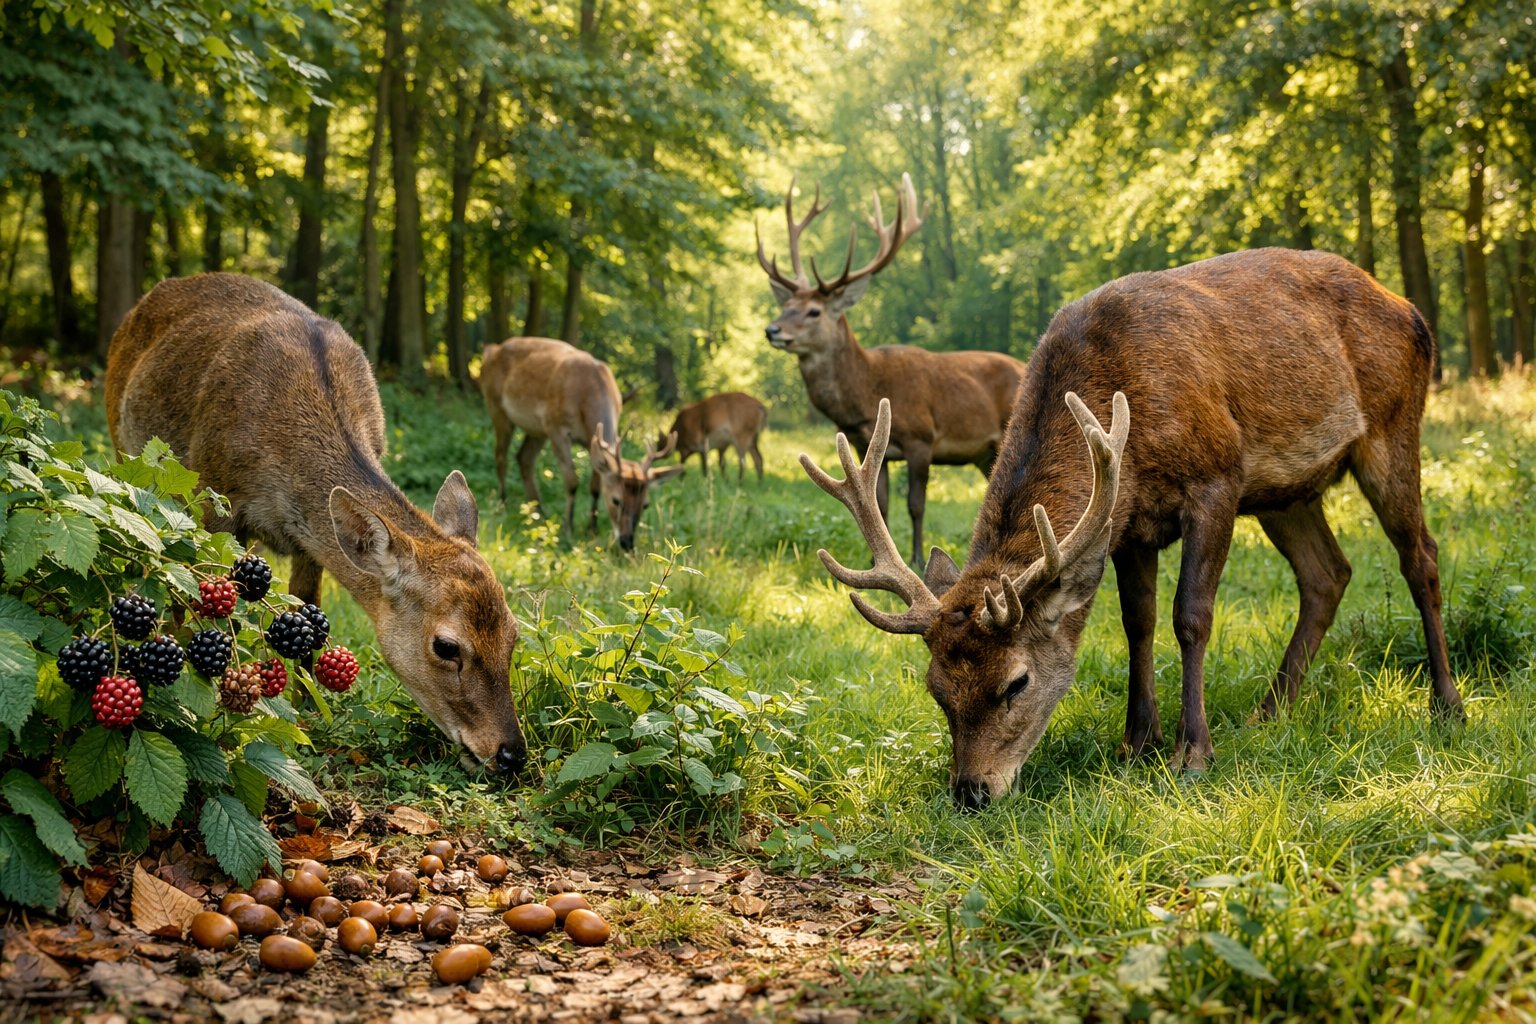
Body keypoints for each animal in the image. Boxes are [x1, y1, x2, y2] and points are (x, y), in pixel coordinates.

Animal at [104, 273, 527, 774]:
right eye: (446, 646)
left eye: (514, 634)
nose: (511, 753)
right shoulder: (212, 498)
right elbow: (201, 600)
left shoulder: (310, 539)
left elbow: (307, 612)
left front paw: (304, 710)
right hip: (123, 447)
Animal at [479, 336, 683, 551]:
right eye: (616, 500)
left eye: (645, 504)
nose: (627, 542)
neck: (587, 397)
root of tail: (491, 350)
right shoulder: (555, 427)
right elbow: (571, 481)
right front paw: (568, 528)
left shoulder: (590, 440)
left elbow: (594, 486)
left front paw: (592, 529)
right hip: (497, 407)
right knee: (501, 456)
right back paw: (503, 503)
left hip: (537, 429)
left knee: (524, 458)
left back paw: (538, 511)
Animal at [757, 174, 1025, 568]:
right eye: (786, 304)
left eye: (814, 311)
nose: (772, 330)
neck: (866, 395)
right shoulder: (864, 443)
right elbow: (880, 507)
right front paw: (875, 562)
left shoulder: (921, 438)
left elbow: (916, 505)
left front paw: (916, 556)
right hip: (984, 453)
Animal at [800, 248, 1465, 810]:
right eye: (937, 689)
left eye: (1016, 683)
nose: (970, 791)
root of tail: (1411, 310)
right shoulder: (1128, 520)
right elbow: (1136, 623)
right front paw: (1136, 743)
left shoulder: (1217, 477)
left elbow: (1190, 615)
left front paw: (1192, 752)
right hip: (1287, 492)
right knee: (1328, 573)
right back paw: (1268, 713)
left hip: (1393, 426)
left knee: (1421, 557)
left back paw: (1447, 706)